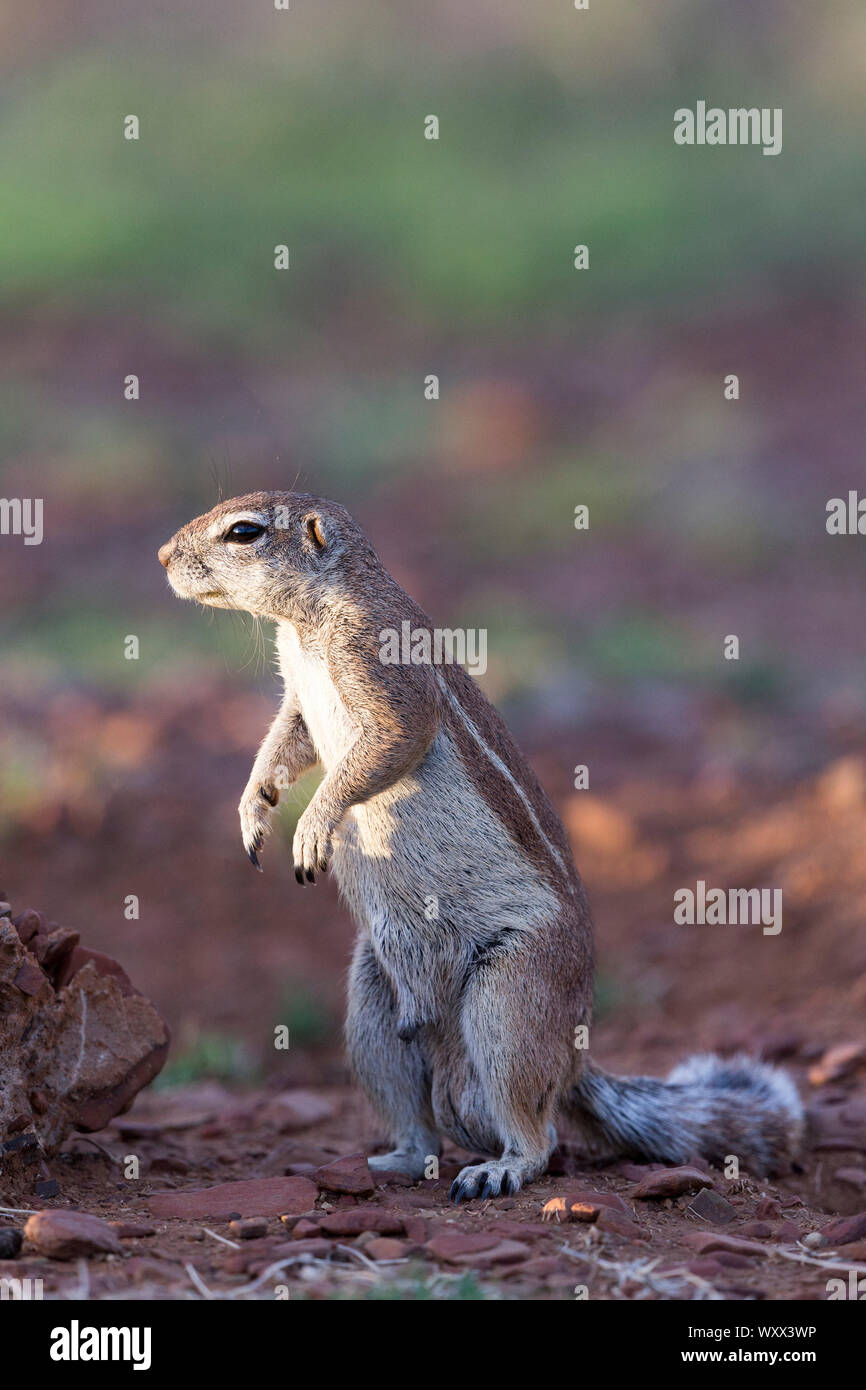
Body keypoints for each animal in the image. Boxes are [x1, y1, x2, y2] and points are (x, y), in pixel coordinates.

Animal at [159, 490, 804, 1202]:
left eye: (243, 533)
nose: (161, 557)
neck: (307, 621)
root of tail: (573, 1058)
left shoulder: (383, 668)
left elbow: (390, 740)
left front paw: (313, 826)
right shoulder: (297, 695)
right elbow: (285, 742)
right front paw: (253, 810)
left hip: (510, 999)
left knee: (539, 1134)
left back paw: (499, 1169)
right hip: (371, 1002)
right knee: (417, 1116)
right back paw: (393, 1160)